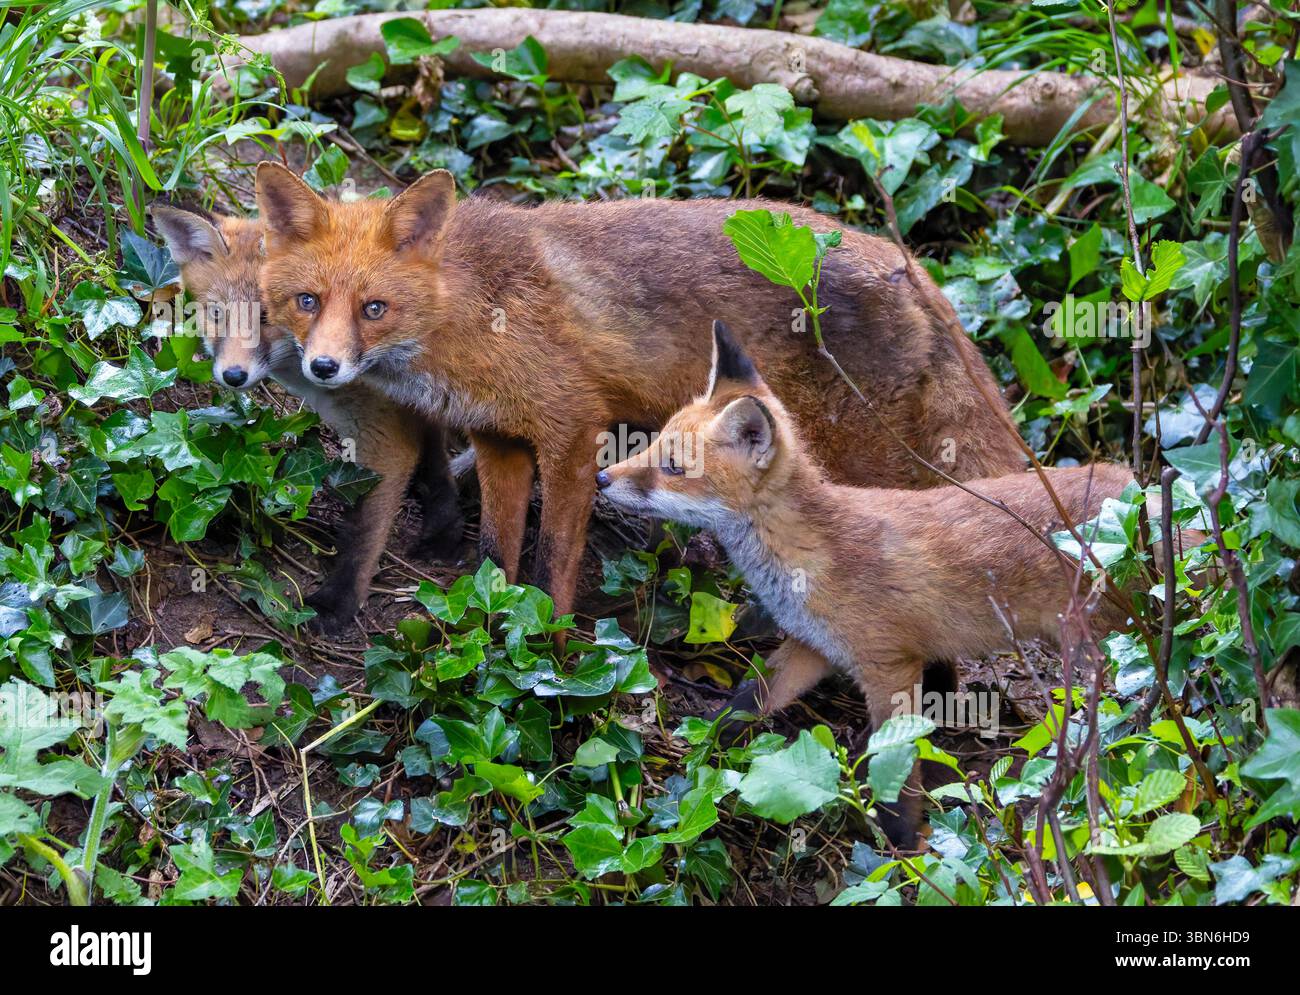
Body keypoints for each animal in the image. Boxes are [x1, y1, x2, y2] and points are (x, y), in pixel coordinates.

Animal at [150, 206, 465, 632]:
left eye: (268, 315)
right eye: (217, 315)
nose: (233, 376)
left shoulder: (386, 434)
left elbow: (365, 531)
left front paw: (338, 601)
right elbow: (431, 457)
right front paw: (444, 522)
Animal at [254, 162, 1026, 619]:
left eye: (374, 309)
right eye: (306, 301)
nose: (324, 368)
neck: (469, 313)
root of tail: (909, 261)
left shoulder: (572, 429)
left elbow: (554, 559)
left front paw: (550, 647)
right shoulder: (501, 438)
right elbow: (498, 551)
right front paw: (496, 628)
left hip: (860, 459)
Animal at [597, 321, 1194, 845]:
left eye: (674, 467)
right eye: (655, 445)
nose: (601, 476)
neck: (806, 557)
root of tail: (1139, 494)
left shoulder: (891, 665)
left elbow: (894, 764)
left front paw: (906, 844)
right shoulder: (812, 646)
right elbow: (745, 703)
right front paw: (699, 747)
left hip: (1106, 647)